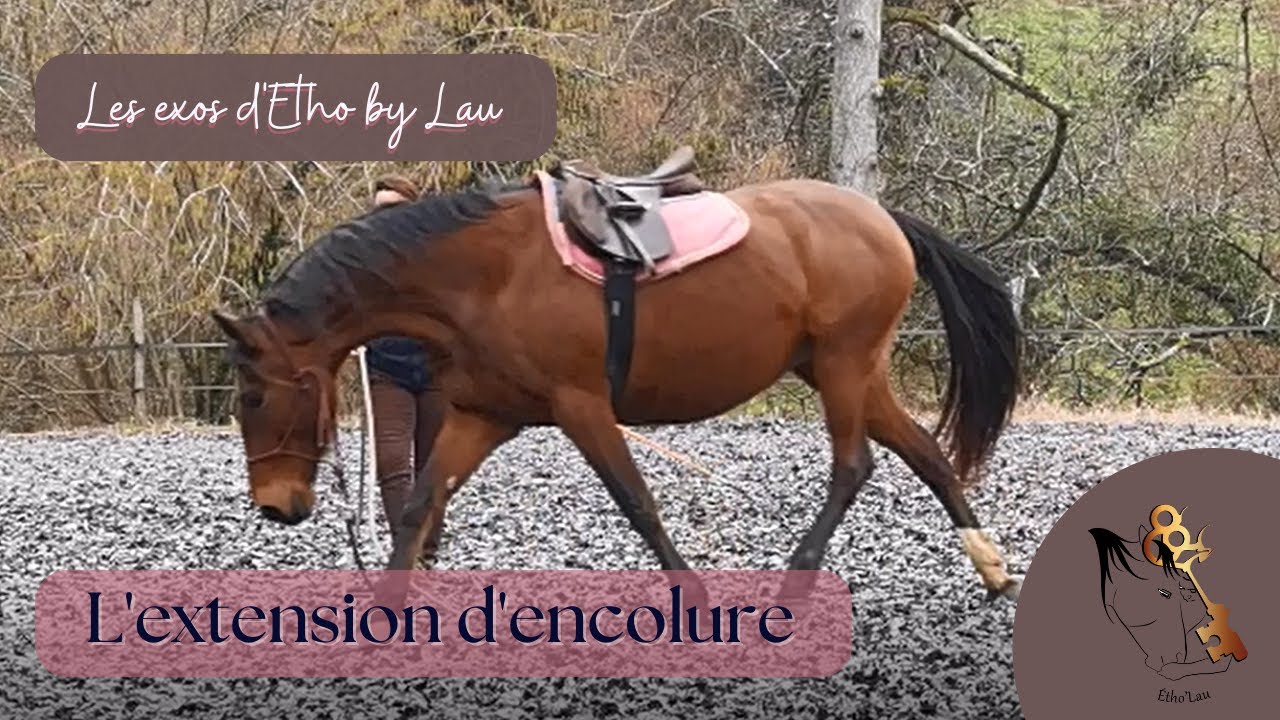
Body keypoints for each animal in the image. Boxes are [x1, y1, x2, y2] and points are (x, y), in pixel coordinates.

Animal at [212, 168, 1022, 600]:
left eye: (254, 397)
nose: (275, 507)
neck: (487, 277)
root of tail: (880, 217)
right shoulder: (480, 412)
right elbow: (417, 507)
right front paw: (384, 610)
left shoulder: (583, 408)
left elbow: (638, 504)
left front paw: (693, 597)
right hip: (844, 369)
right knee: (924, 452)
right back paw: (990, 566)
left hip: (844, 367)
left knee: (855, 466)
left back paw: (798, 577)